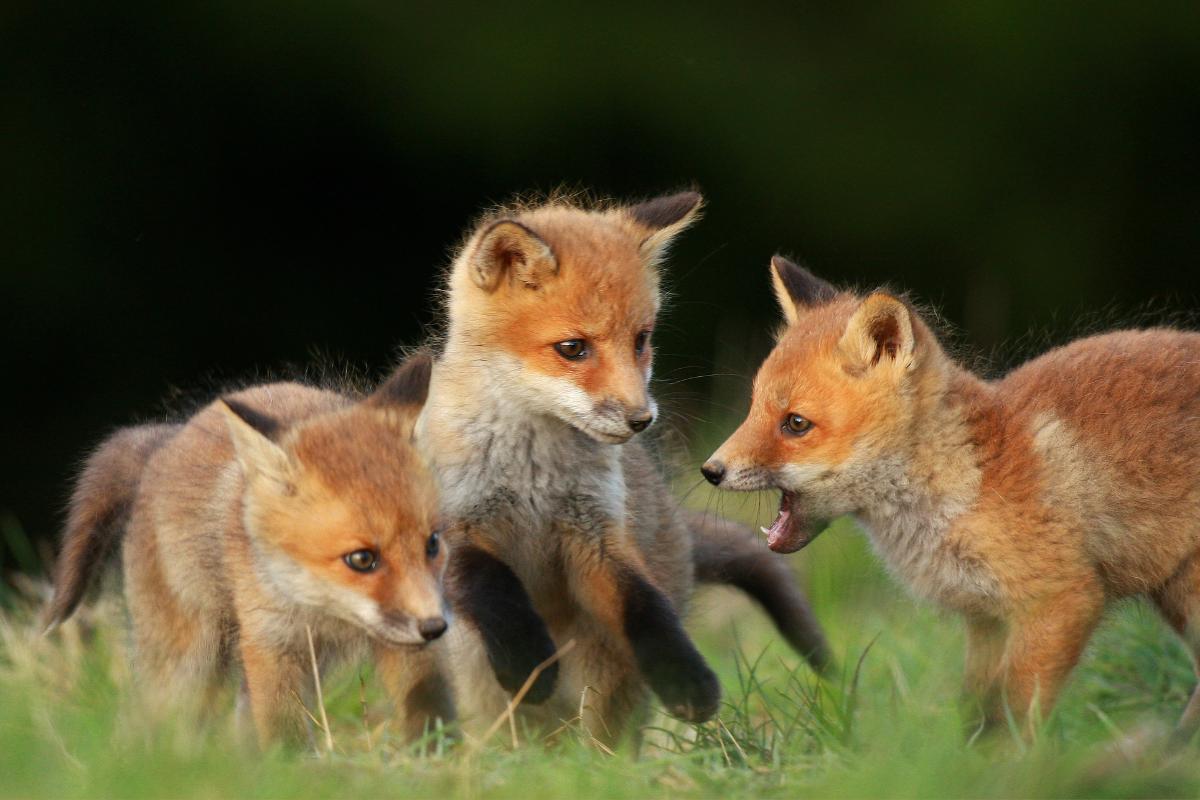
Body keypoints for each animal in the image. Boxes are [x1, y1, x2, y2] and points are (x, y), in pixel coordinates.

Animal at [44, 354, 455, 746]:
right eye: (362, 559)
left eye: (432, 543)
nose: (435, 627)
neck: (328, 615)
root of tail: (164, 443)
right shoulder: (270, 641)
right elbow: (284, 733)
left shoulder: (408, 647)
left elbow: (430, 713)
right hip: (187, 665)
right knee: (150, 720)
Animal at [416, 192, 830, 746]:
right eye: (572, 348)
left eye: (640, 340)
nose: (641, 419)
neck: (533, 474)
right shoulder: (455, 526)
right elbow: (493, 587)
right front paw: (529, 661)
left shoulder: (596, 534)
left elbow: (643, 607)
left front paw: (688, 681)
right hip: (484, 685)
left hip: (607, 675)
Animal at [702, 254, 1200, 741]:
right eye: (752, 409)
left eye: (796, 424)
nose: (710, 470)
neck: (968, 482)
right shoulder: (986, 620)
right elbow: (976, 713)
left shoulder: (1060, 600)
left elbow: (1018, 714)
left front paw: (1018, 764)